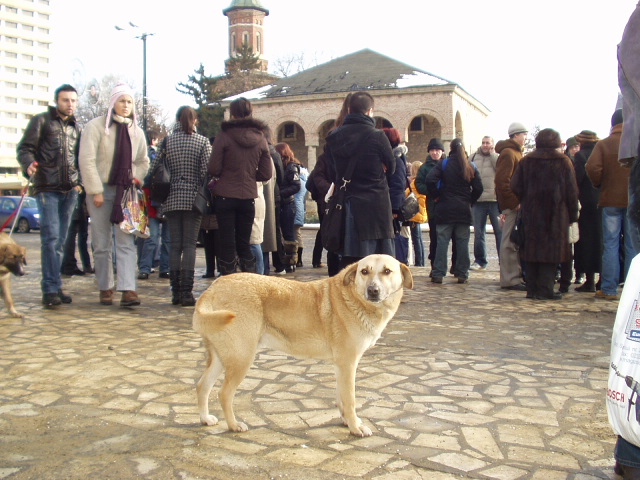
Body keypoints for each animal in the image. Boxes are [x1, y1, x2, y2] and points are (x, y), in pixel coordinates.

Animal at [192, 253, 412, 436]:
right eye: (364, 271)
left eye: (387, 271)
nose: (373, 290)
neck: (353, 298)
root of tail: (214, 287)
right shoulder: (348, 364)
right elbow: (350, 400)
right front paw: (355, 428)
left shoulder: (340, 366)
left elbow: (341, 397)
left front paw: (347, 421)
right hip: (241, 358)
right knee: (223, 393)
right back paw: (233, 425)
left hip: (223, 357)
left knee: (202, 385)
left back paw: (204, 419)